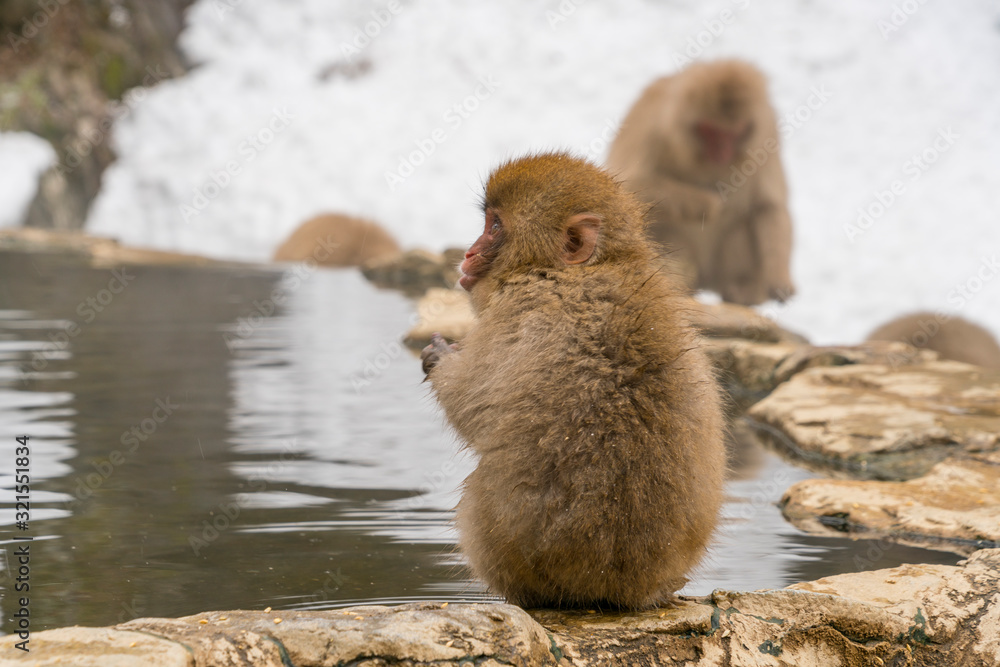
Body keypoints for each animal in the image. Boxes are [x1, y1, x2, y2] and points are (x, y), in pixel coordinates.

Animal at [420, 152, 727, 609]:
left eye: (495, 226)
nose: (469, 252)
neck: (578, 270)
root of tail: (624, 588)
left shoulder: (518, 308)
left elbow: (470, 406)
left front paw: (440, 358)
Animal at [606, 59, 794, 306]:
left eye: (733, 133)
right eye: (710, 131)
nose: (722, 152)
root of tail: (705, 281)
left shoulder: (766, 133)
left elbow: (768, 205)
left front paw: (779, 278)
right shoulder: (651, 124)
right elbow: (627, 186)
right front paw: (708, 202)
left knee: (744, 223)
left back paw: (743, 288)